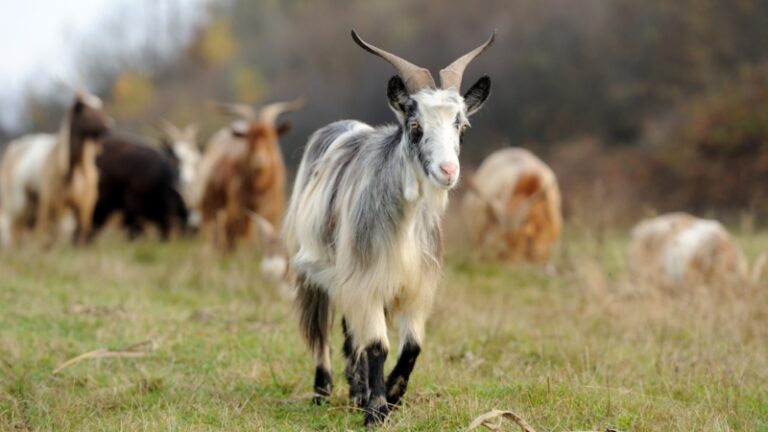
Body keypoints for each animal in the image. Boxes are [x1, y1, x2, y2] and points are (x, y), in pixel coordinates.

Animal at [0, 92, 110, 247]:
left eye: (99, 107)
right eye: (86, 111)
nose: (109, 125)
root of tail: (15, 145)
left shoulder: (83, 204)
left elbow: (80, 230)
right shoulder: (50, 199)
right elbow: (46, 230)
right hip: (19, 202)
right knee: (19, 229)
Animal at [198, 98, 302, 250]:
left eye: (271, 137)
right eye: (249, 138)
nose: (260, 160)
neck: (258, 188)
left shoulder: (272, 210)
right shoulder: (239, 208)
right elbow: (243, 235)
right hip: (209, 206)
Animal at [282, 30, 494, 425]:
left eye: (461, 126)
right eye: (415, 126)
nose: (448, 171)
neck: (406, 225)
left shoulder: (412, 284)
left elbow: (411, 345)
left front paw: (391, 395)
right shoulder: (367, 278)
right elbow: (378, 345)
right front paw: (377, 412)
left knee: (350, 332)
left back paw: (357, 391)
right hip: (313, 268)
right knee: (320, 330)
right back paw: (323, 391)